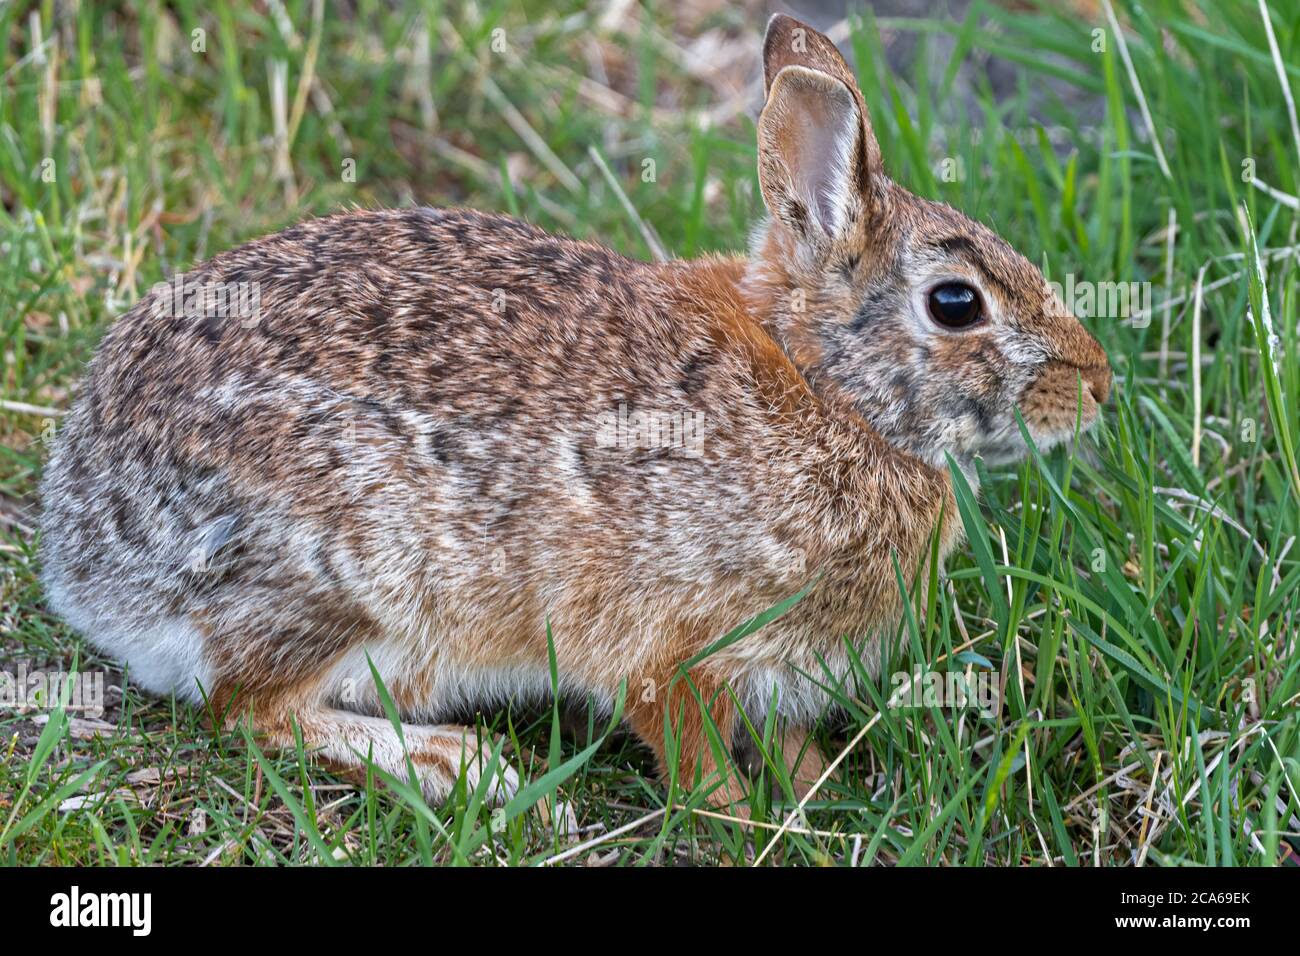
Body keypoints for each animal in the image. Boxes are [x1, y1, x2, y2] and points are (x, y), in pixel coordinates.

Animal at [38, 14, 1110, 811]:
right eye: (957, 303)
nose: (1097, 383)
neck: (824, 385)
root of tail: (81, 560)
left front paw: (816, 793)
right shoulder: (671, 641)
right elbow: (689, 747)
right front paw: (743, 820)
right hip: (351, 573)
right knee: (249, 709)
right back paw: (454, 763)